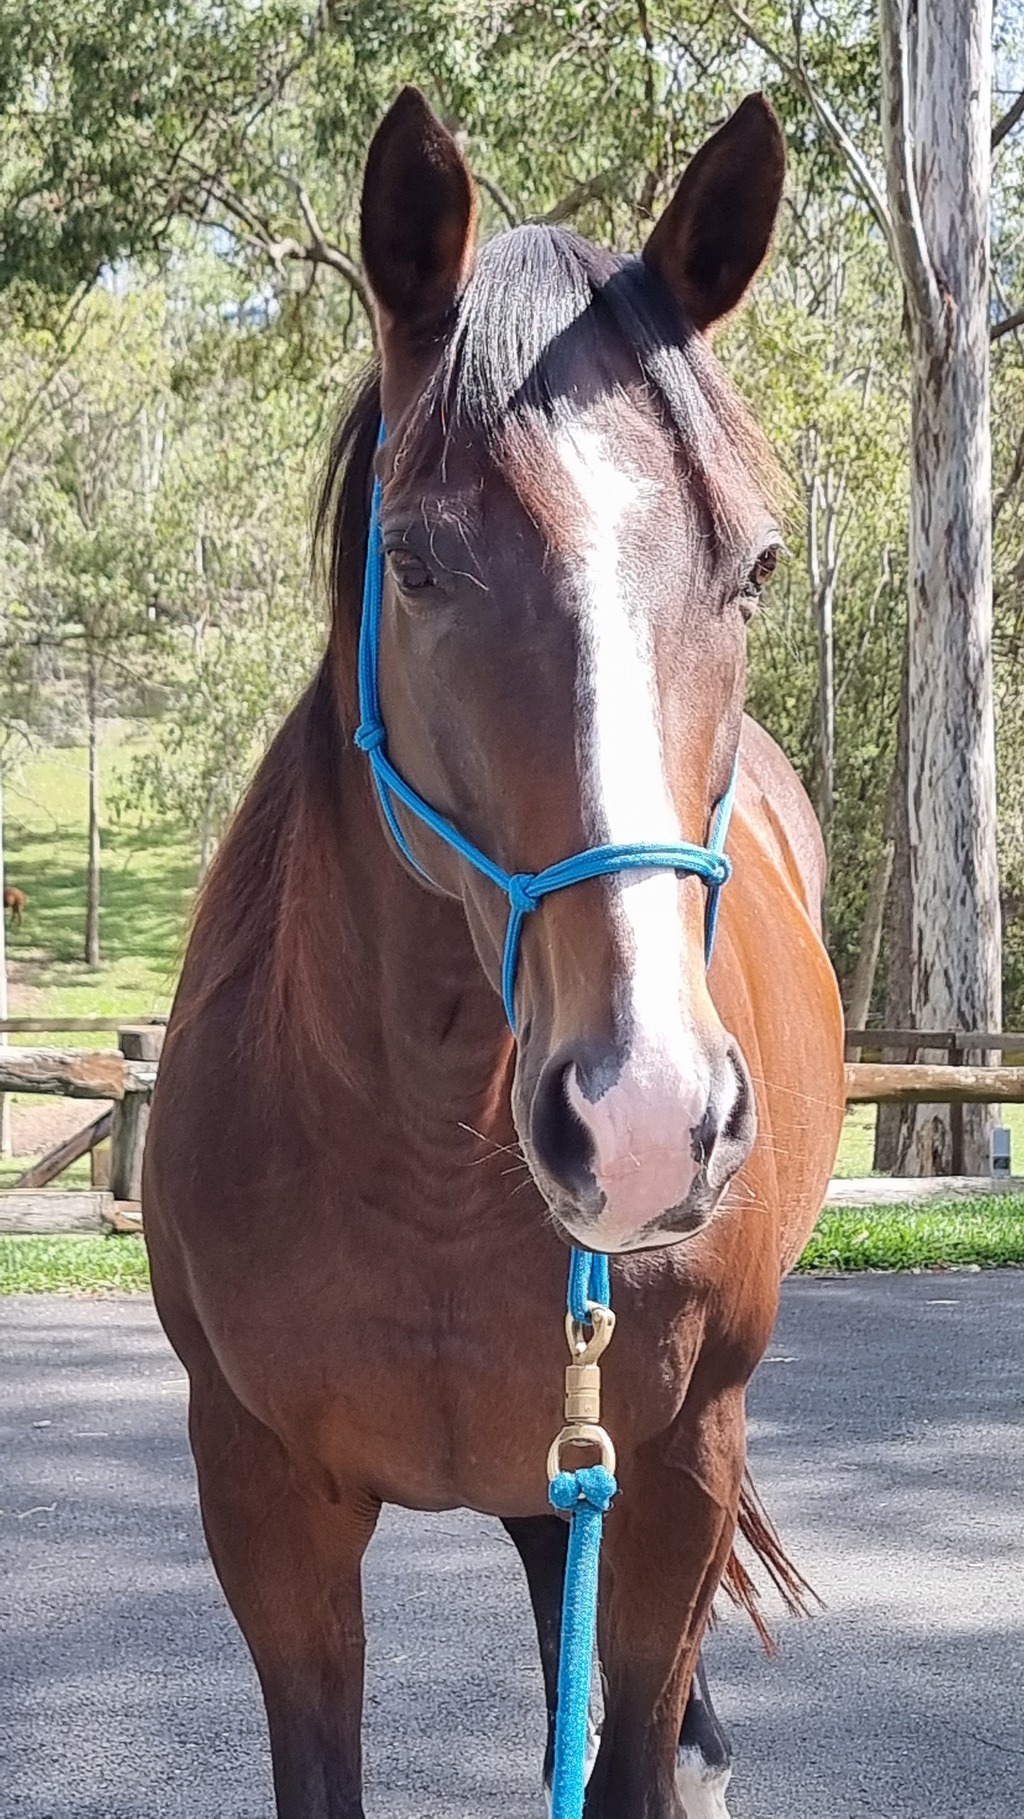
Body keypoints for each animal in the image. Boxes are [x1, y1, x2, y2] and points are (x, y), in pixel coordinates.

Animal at [145, 87, 845, 1819]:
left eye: (755, 565)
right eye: (417, 560)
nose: (646, 1114)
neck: (433, 1149)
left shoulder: (674, 1475)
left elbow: (640, 1747)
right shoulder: (264, 1506)